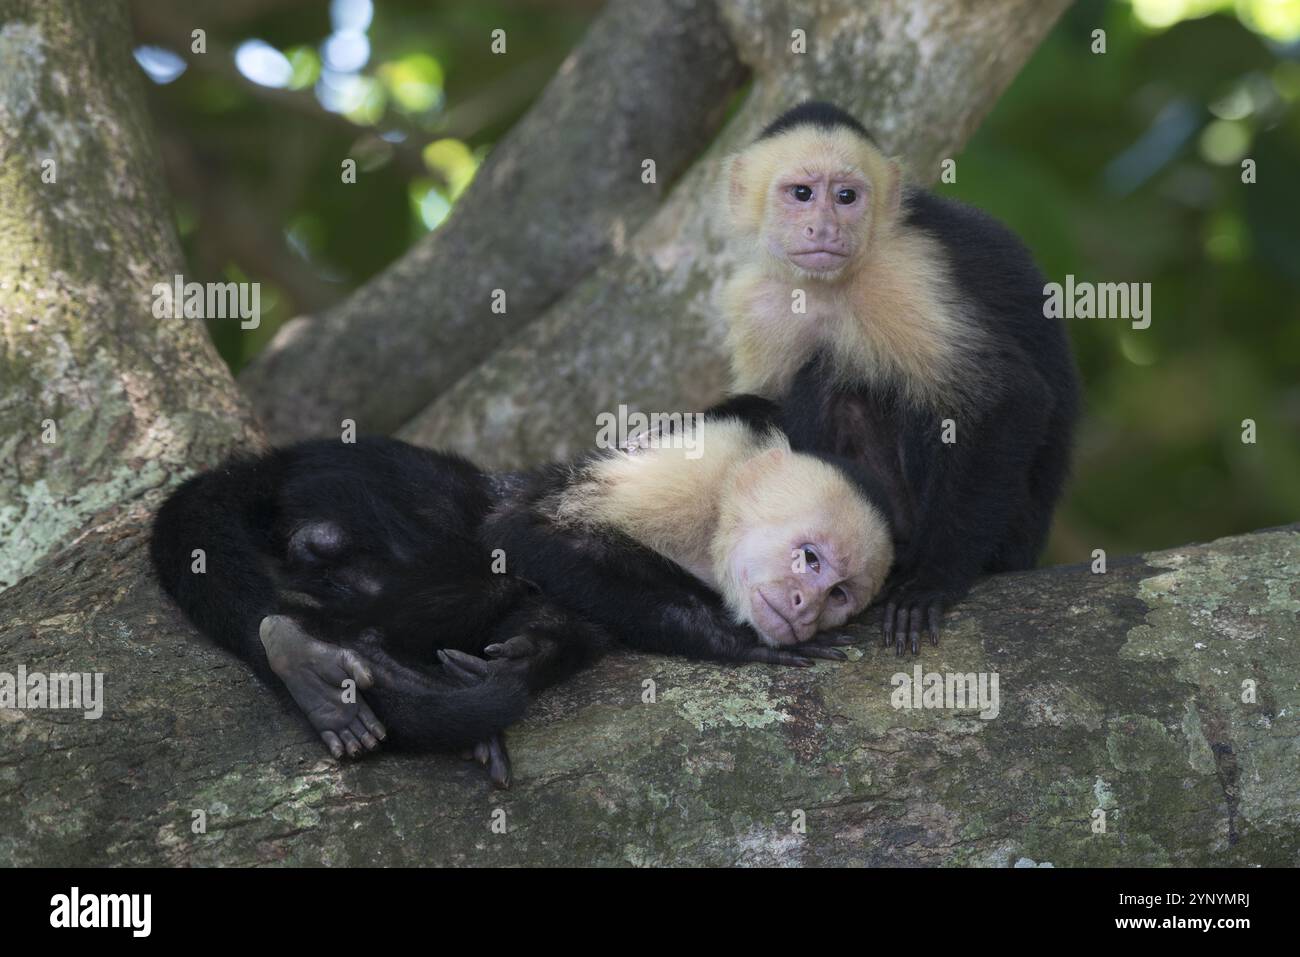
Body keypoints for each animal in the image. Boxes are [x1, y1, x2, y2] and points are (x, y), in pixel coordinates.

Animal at [151, 421, 893, 786]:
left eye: (841, 594)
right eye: (810, 559)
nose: (805, 604)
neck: (705, 542)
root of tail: (280, 458)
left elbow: (569, 618)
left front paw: (531, 652)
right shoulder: (687, 472)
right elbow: (523, 533)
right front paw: (736, 641)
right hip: (358, 482)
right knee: (478, 543)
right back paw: (315, 652)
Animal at [717, 100, 1080, 655]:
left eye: (846, 196)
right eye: (801, 194)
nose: (824, 228)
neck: (827, 288)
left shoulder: (904, 276)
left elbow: (1008, 398)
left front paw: (934, 578)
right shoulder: (755, 301)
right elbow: (764, 413)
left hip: (1013, 531)